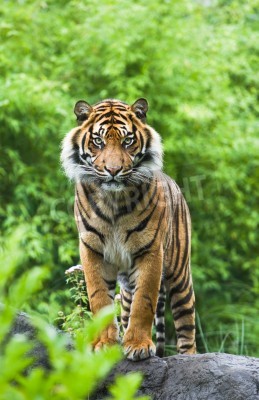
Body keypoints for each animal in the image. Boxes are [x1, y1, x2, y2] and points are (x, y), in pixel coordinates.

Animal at [61, 97, 196, 360]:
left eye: (127, 141)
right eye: (98, 141)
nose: (113, 170)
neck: (113, 200)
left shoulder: (150, 251)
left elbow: (144, 301)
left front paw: (139, 345)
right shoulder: (92, 249)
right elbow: (99, 299)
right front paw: (104, 343)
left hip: (180, 277)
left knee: (187, 329)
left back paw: (190, 358)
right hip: (125, 290)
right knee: (125, 311)